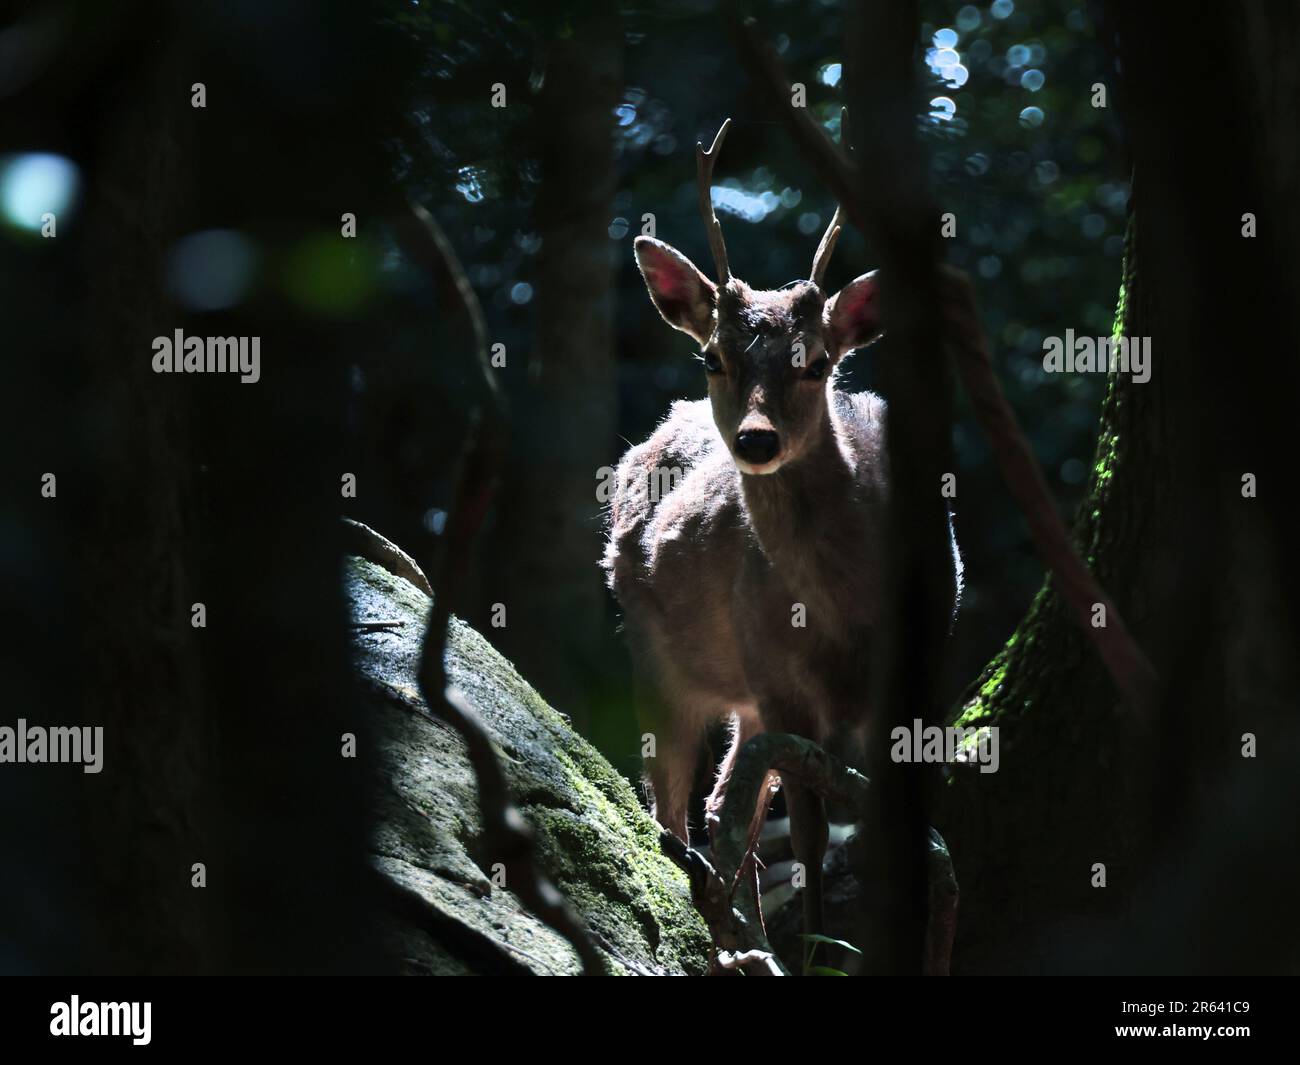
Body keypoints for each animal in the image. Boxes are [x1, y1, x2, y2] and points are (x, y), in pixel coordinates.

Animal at [602, 119, 961, 940]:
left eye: (819, 362)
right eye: (713, 355)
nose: (757, 439)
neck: (846, 608)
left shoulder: (915, 669)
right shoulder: (781, 677)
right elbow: (812, 832)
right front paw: (821, 944)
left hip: (744, 695)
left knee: (723, 803)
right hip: (663, 652)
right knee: (672, 802)